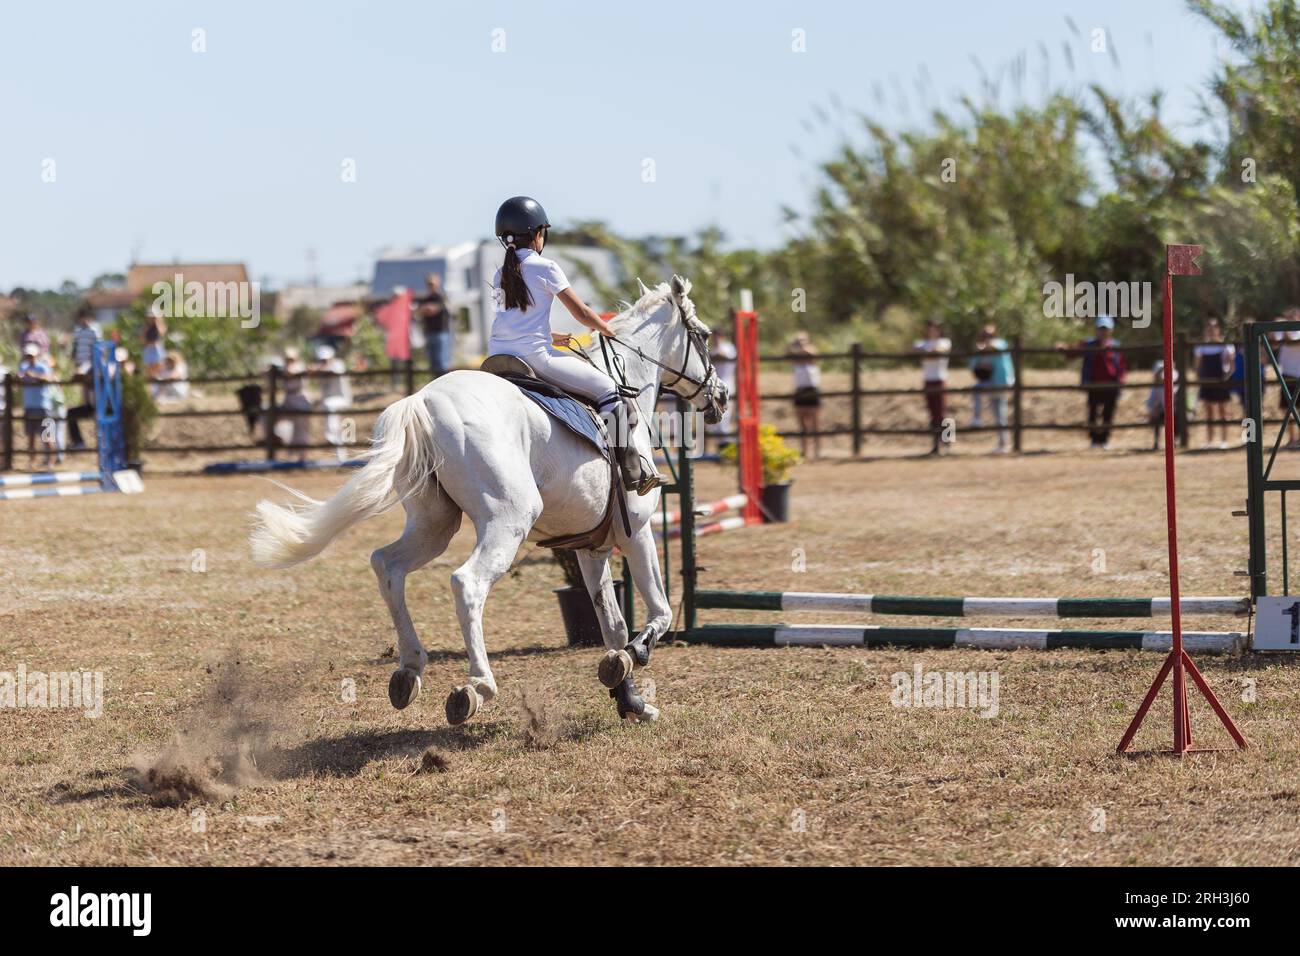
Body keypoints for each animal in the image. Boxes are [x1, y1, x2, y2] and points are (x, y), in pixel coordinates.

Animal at [249, 275, 726, 725]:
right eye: (703, 335)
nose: (720, 395)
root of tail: (422, 401)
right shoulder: (637, 532)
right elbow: (659, 613)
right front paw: (637, 656)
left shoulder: (590, 546)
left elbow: (612, 625)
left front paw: (630, 697)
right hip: (508, 521)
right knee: (467, 583)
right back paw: (475, 687)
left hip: (434, 524)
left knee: (388, 565)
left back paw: (409, 670)